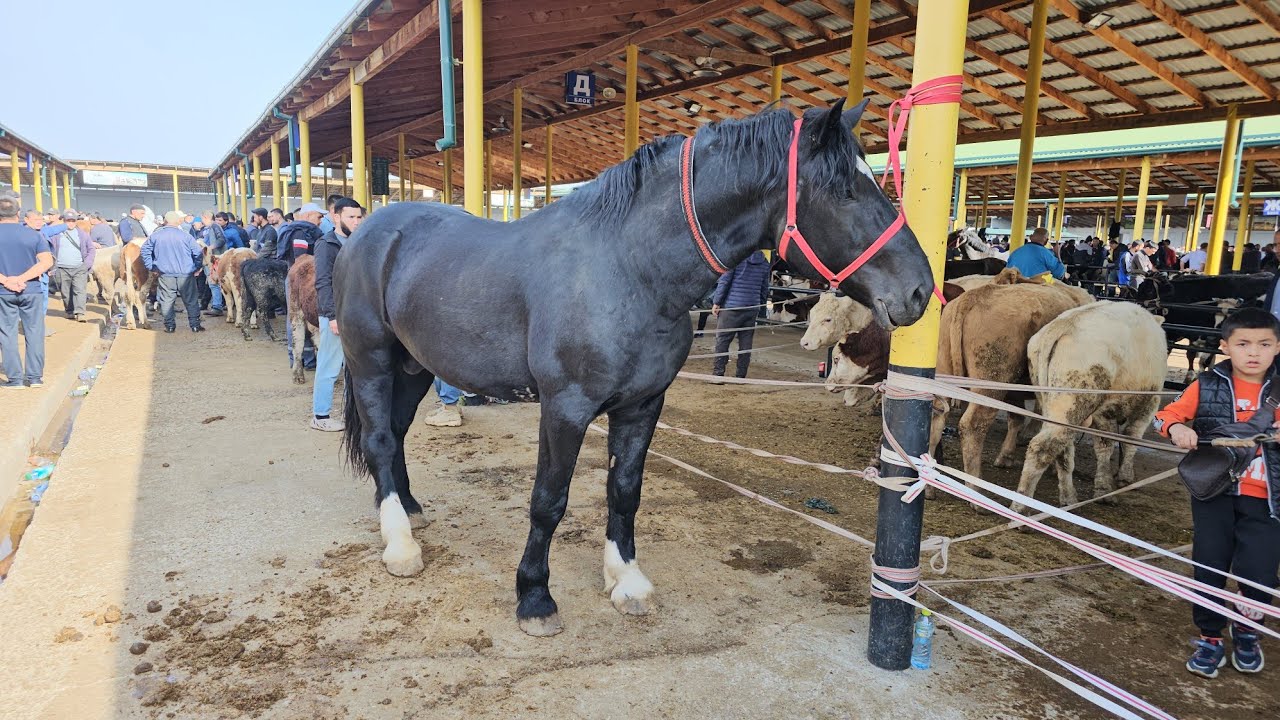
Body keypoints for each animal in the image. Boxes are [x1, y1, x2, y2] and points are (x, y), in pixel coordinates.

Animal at [334, 100, 935, 637]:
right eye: (845, 188)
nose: (920, 291)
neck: (628, 268)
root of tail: (368, 231)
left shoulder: (643, 405)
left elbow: (624, 492)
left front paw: (626, 581)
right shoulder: (565, 408)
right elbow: (548, 500)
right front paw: (534, 596)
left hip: (414, 366)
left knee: (396, 433)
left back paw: (409, 511)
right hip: (371, 361)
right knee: (381, 440)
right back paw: (400, 544)